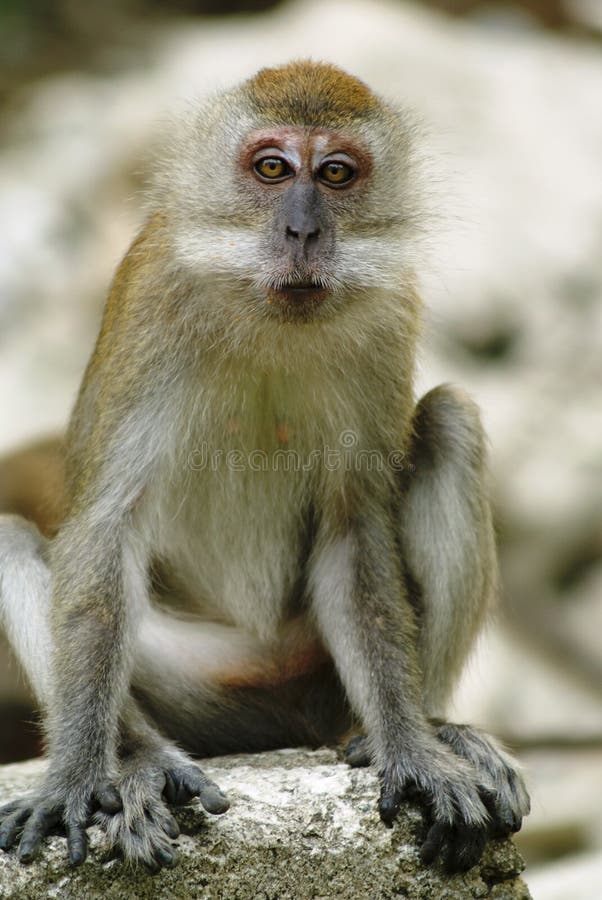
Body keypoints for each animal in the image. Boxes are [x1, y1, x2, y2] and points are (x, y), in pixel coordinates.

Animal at [0, 60, 530, 875]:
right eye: (272, 168)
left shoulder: (389, 313)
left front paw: (411, 748)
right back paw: (142, 762)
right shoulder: (156, 295)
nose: (303, 230)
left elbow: (353, 527)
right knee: (15, 544)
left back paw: (430, 728)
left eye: (337, 173)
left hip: (316, 682)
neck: (269, 313)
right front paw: (80, 778)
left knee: (450, 420)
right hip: (206, 686)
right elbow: (107, 526)